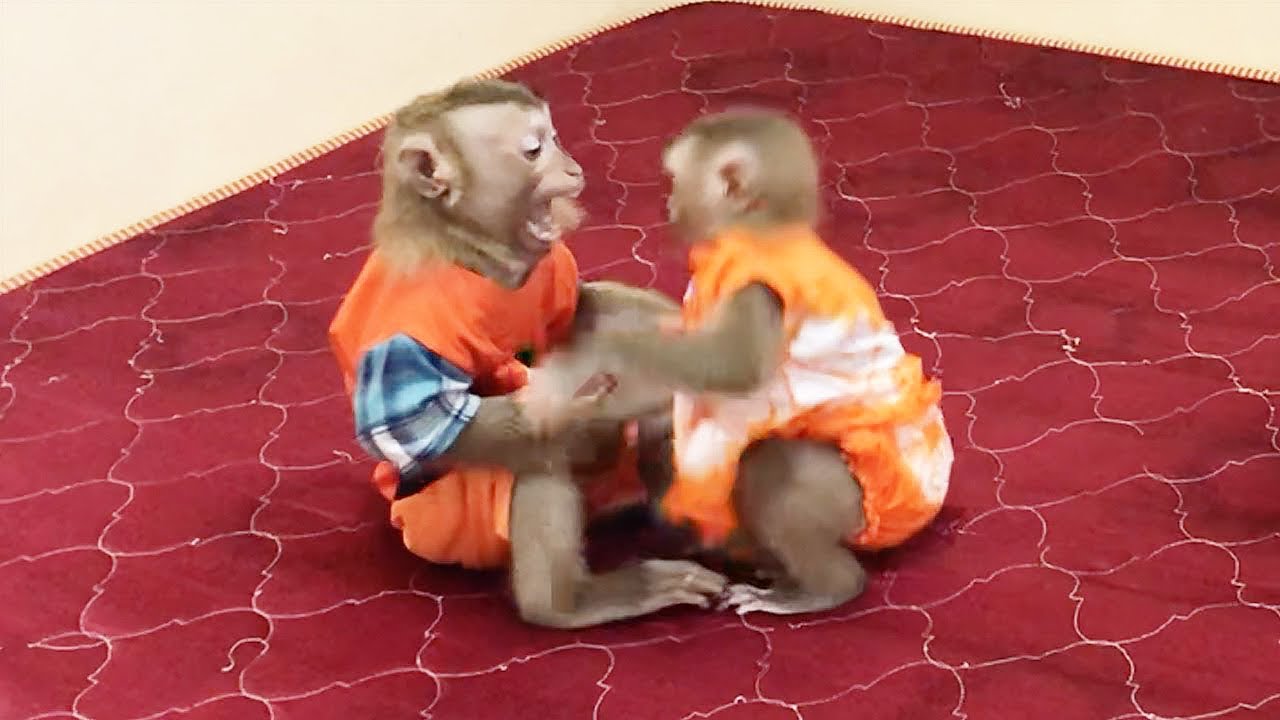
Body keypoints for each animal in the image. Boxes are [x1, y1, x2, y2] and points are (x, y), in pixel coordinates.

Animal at [327, 79, 726, 629]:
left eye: (555, 140)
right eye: (534, 150)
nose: (574, 168)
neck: (469, 253)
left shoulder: (552, 267)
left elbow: (586, 312)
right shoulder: (409, 325)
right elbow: (431, 425)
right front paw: (591, 422)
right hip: (452, 525)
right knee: (539, 452)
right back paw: (568, 602)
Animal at [537, 108, 955, 615]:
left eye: (675, 179)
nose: (669, 204)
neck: (767, 231)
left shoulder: (757, 286)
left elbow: (733, 367)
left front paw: (605, 351)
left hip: (869, 503)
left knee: (769, 462)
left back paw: (822, 588)